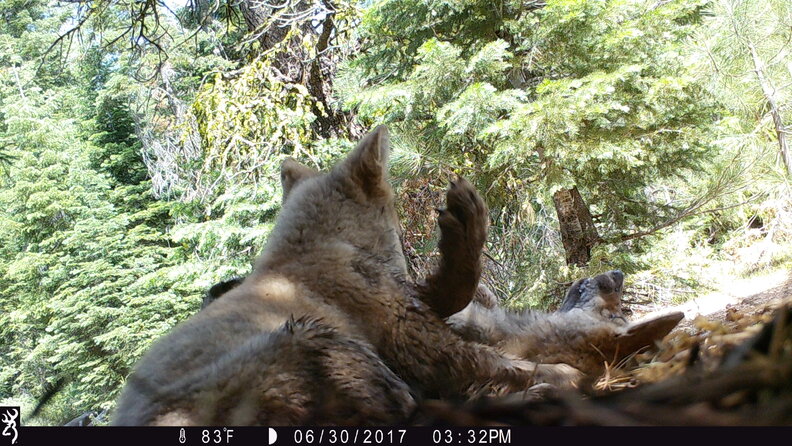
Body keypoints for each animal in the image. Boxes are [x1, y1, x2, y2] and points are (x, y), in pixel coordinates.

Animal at [112, 126, 577, 426]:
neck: (319, 242)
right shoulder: (378, 309)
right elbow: (456, 354)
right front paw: (558, 372)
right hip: (289, 353)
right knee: (402, 403)